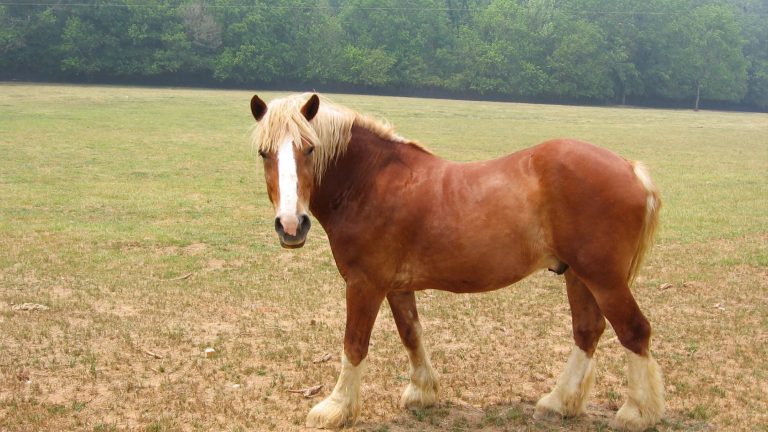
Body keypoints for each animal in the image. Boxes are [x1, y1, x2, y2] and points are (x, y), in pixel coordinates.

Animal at [249, 93, 664, 431]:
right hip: (578, 275)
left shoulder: (364, 284)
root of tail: (629, 168)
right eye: (264, 152)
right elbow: (411, 333)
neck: (370, 183)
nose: (291, 225)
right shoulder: (396, 286)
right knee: (587, 331)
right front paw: (422, 392)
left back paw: (636, 413)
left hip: (604, 278)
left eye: (309, 149)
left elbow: (354, 344)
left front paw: (336, 409)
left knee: (634, 331)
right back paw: (558, 403)